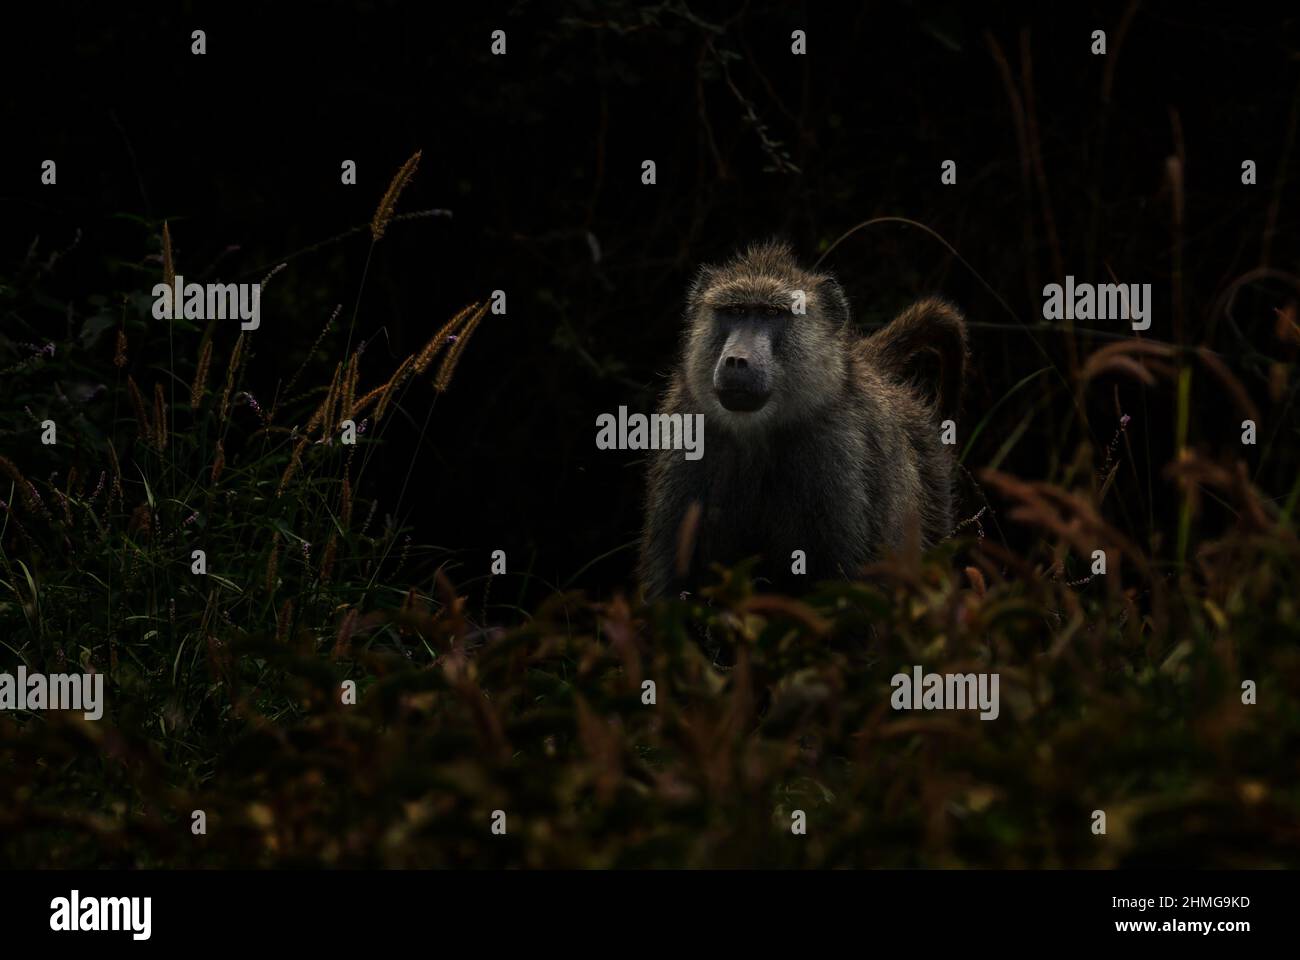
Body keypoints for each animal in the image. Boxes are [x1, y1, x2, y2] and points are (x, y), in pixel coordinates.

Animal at [637, 239, 968, 601]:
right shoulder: (688, 434)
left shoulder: (840, 452)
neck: (758, 436)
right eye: (734, 312)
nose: (737, 360)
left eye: (772, 314)